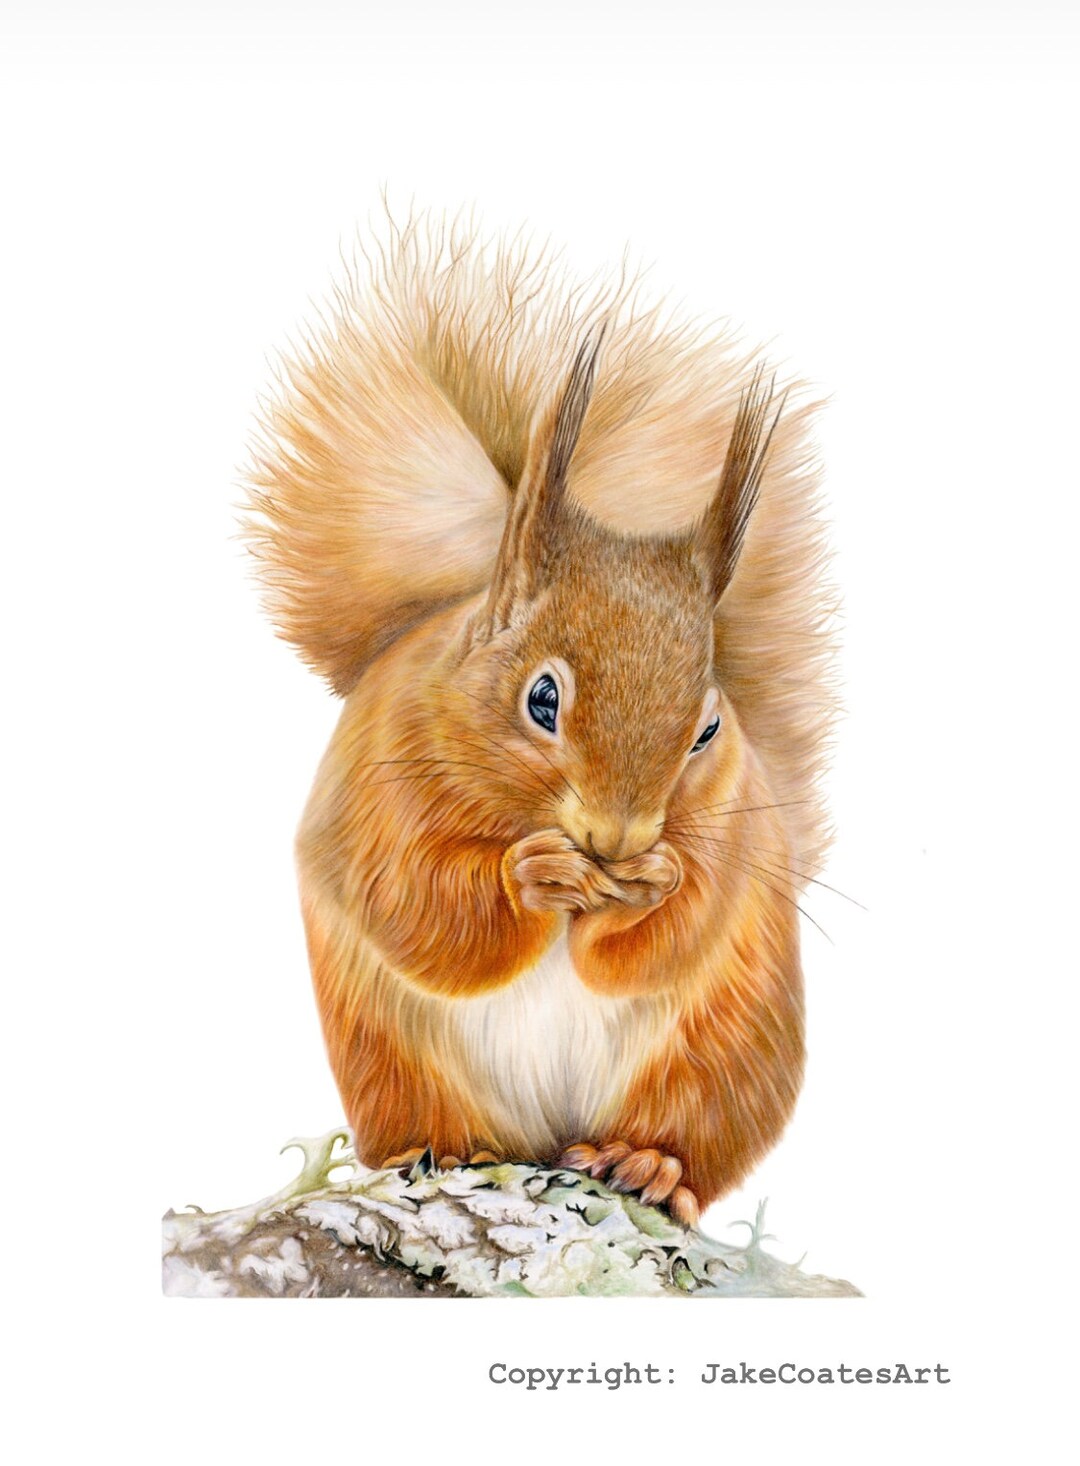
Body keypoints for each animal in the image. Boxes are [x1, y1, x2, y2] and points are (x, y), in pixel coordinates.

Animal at [243, 214, 836, 1227]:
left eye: (708, 730)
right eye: (543, 699)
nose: (617, 837)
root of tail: (550, 1136)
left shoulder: (736, 834)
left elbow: (684, 926)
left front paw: (654, 884)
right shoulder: (379, 786)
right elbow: (414, 904)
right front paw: (532, 874)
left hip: (726, 1054)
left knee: (693, 1129)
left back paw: (648, 1161)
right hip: (390, 1058)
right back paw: (444, 1146)